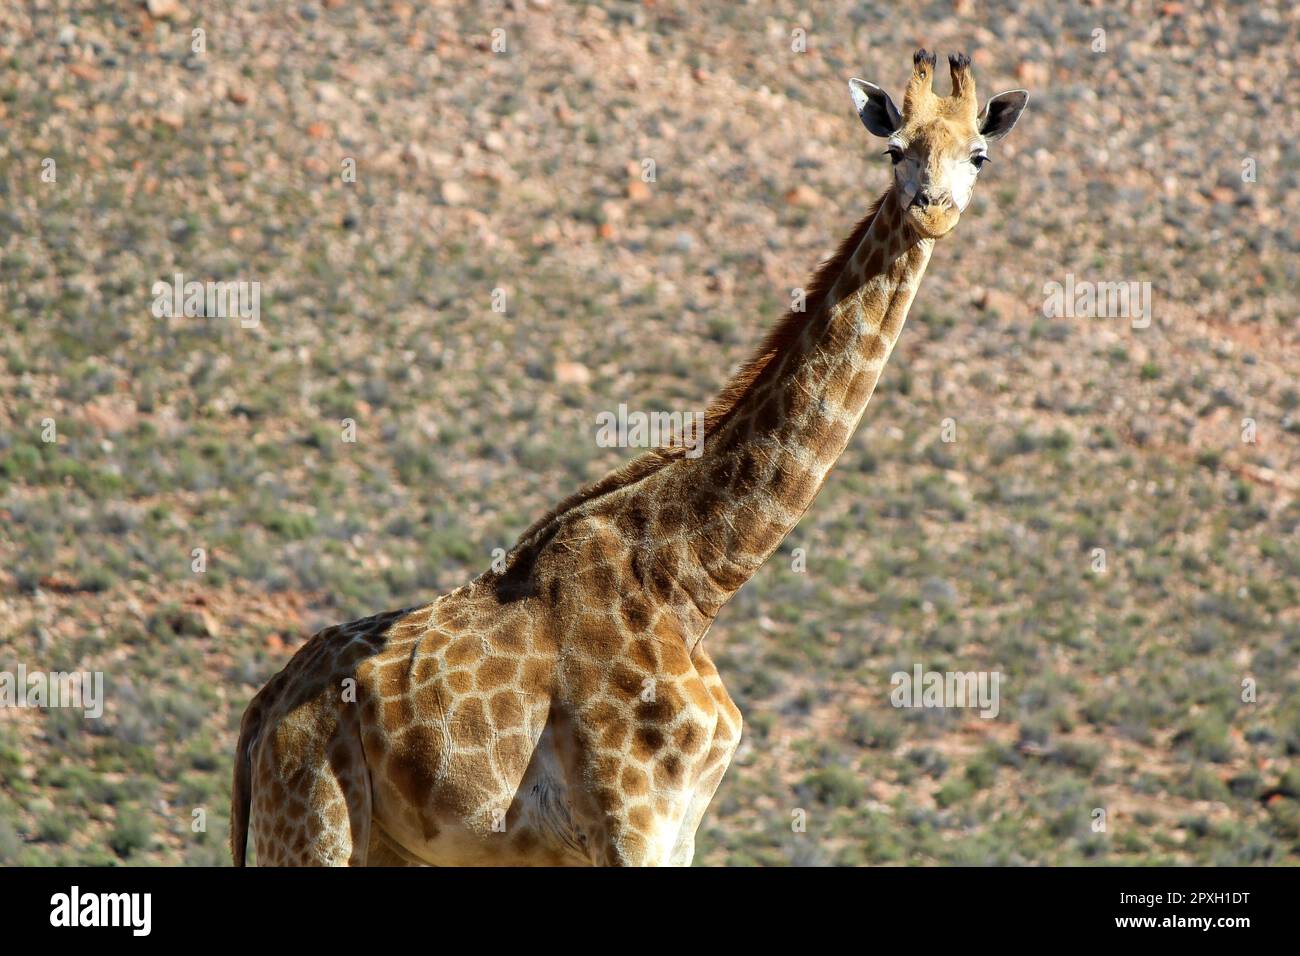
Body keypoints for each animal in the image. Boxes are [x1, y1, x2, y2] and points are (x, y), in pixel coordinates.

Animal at [231, 50, 1027, 867]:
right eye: (895, 149)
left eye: (980, 154)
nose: (933, 208)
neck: (693, 579)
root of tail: (257, 718)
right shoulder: (631, 817)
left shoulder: (679, 825)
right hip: (313, 824)